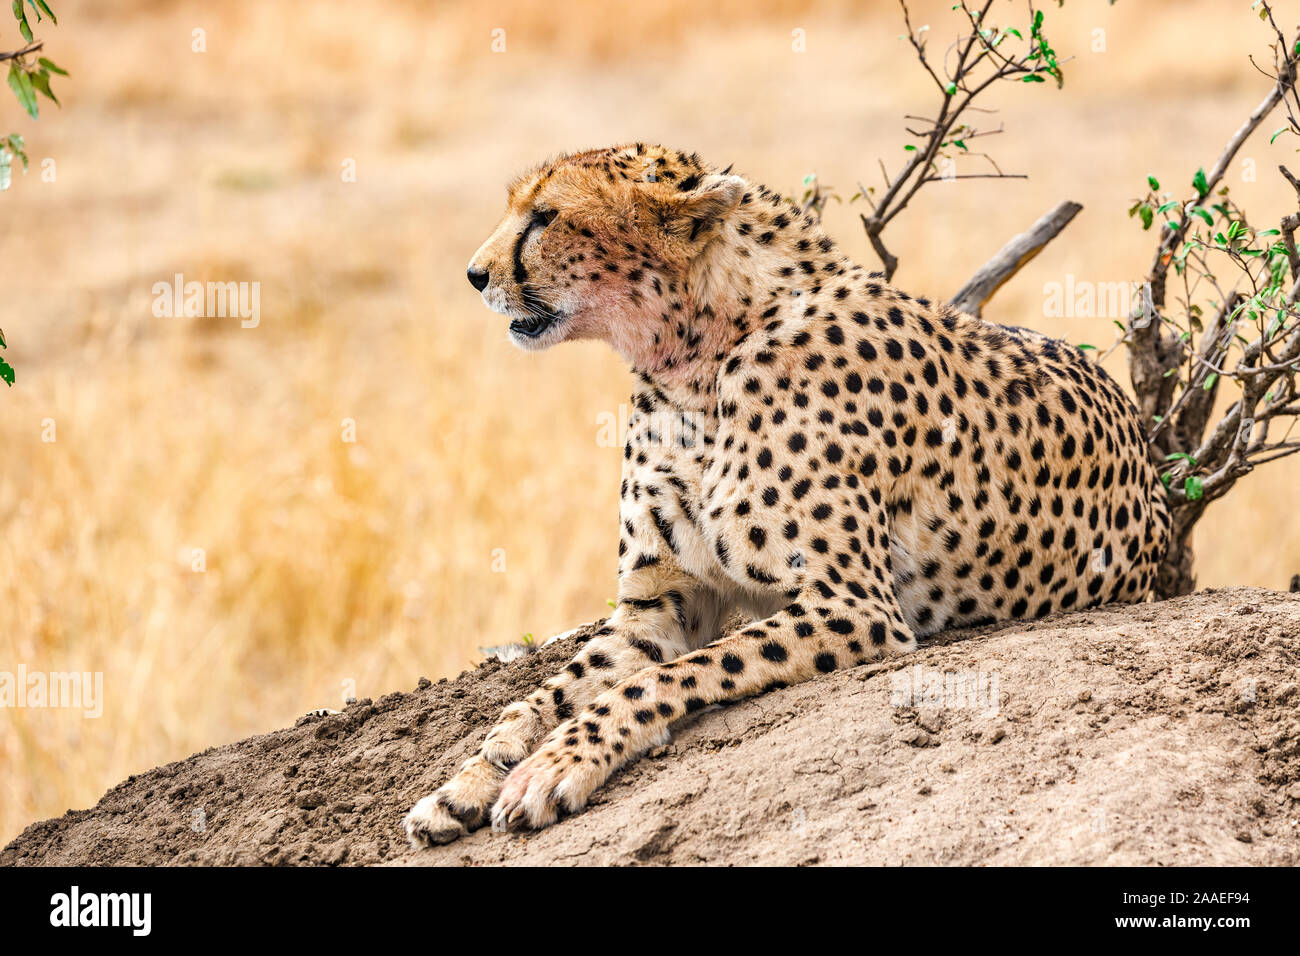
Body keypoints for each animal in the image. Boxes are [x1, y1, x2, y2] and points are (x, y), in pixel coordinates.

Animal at [403, 143, 1170, 846]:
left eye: (547, 216)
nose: (475, 275)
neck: (694, 361)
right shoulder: (658, 605)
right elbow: (543, 696)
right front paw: (464, 785)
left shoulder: (855, 606)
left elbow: (661, 679)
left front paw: (554, 767)